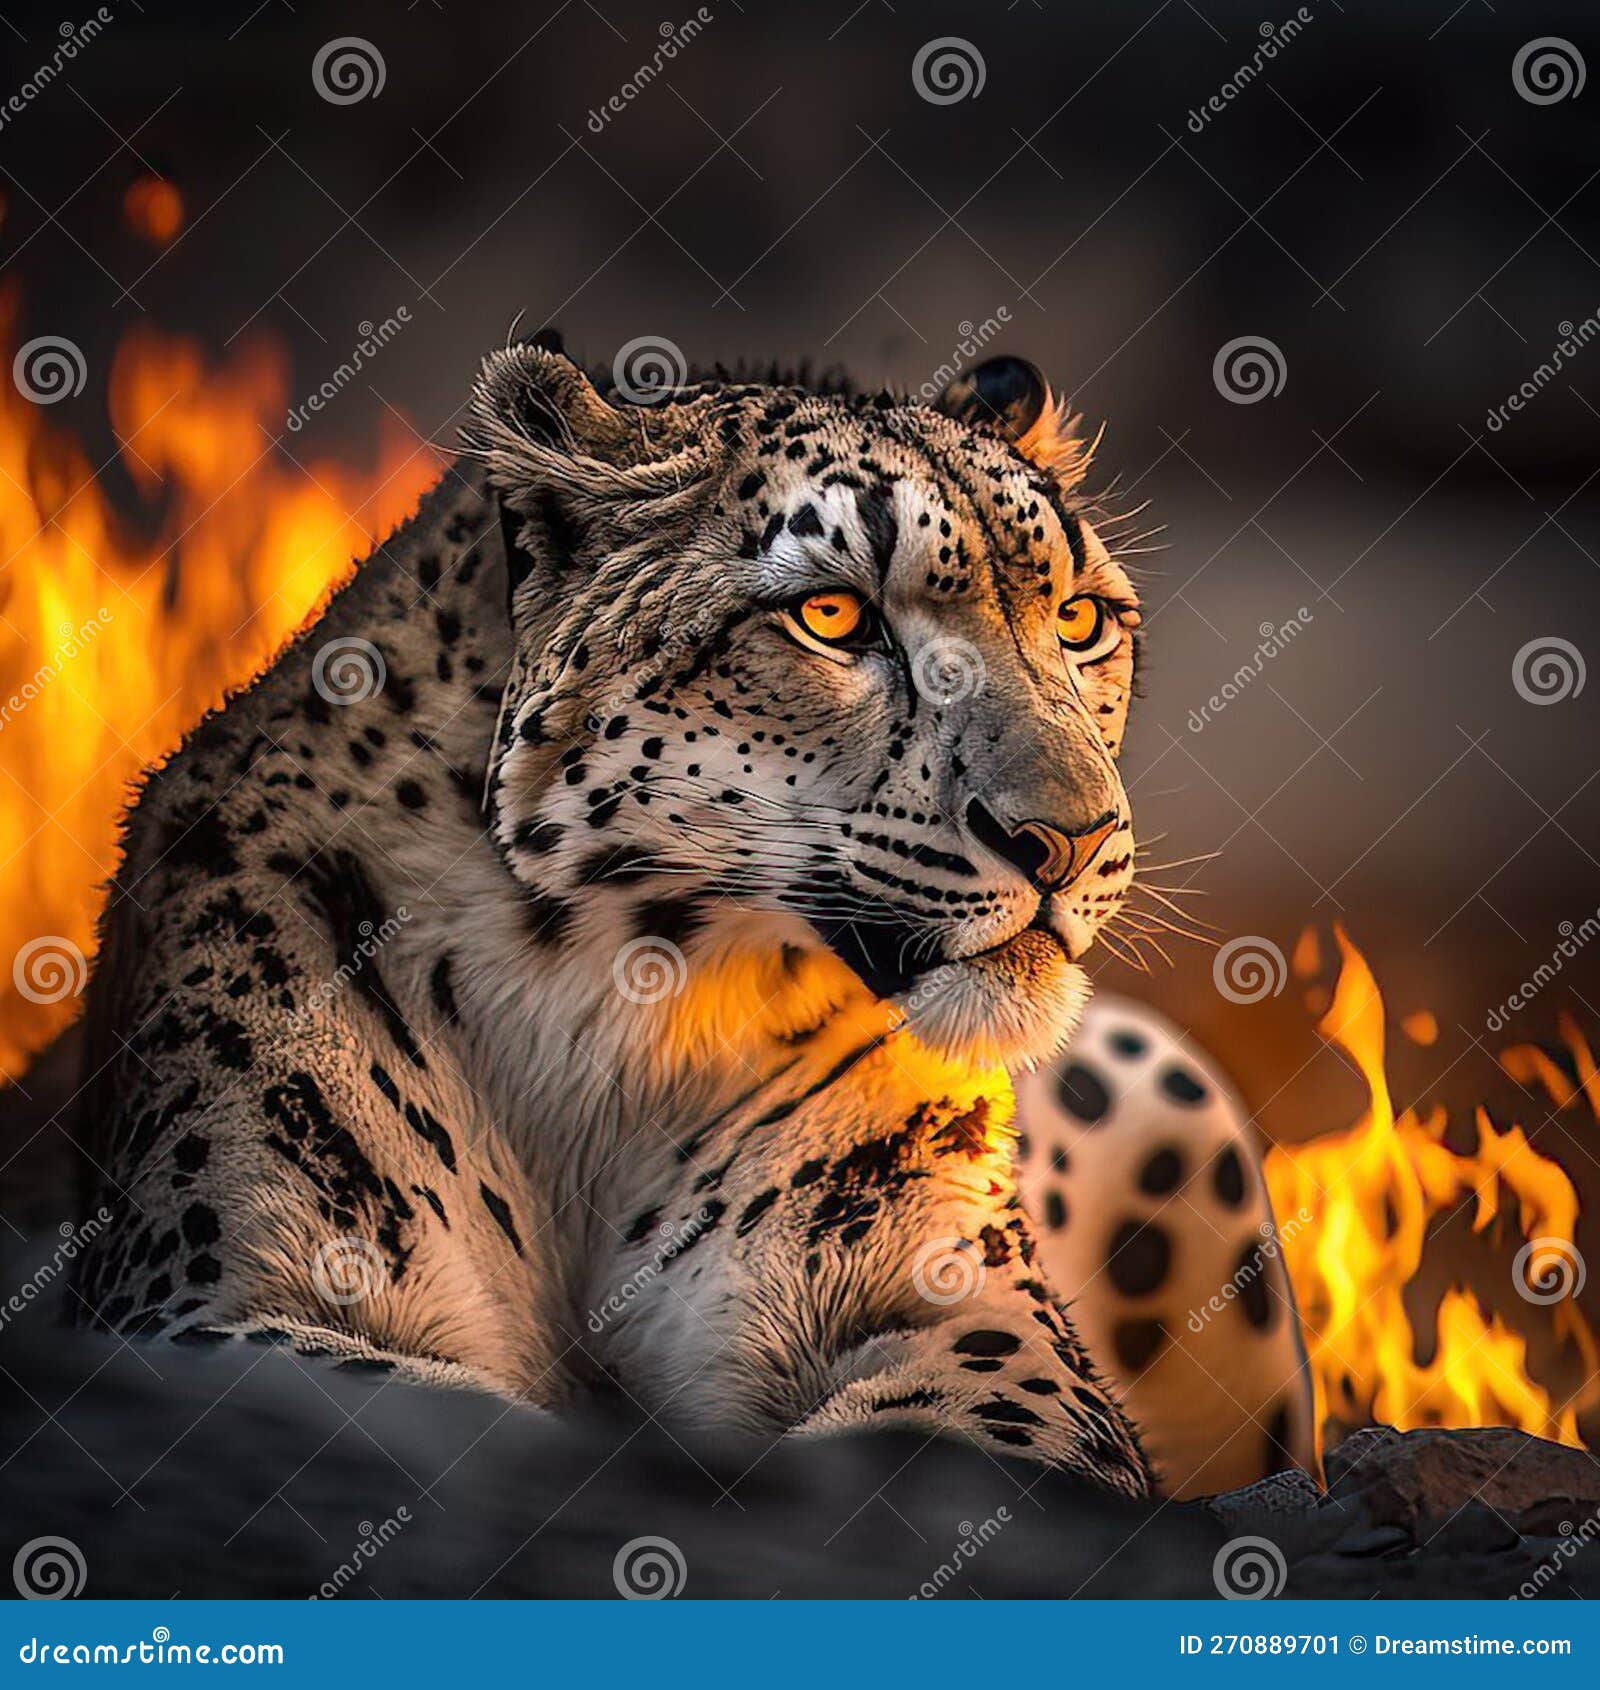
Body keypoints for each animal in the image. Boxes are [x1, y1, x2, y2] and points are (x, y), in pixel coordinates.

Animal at [72, 344, 1158, 1496]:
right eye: (831, 616)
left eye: (1080, 620)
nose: (1070, 837)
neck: (608, 1041)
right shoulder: (236, 1287)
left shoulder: (954, 1298)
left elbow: (984, 1423)